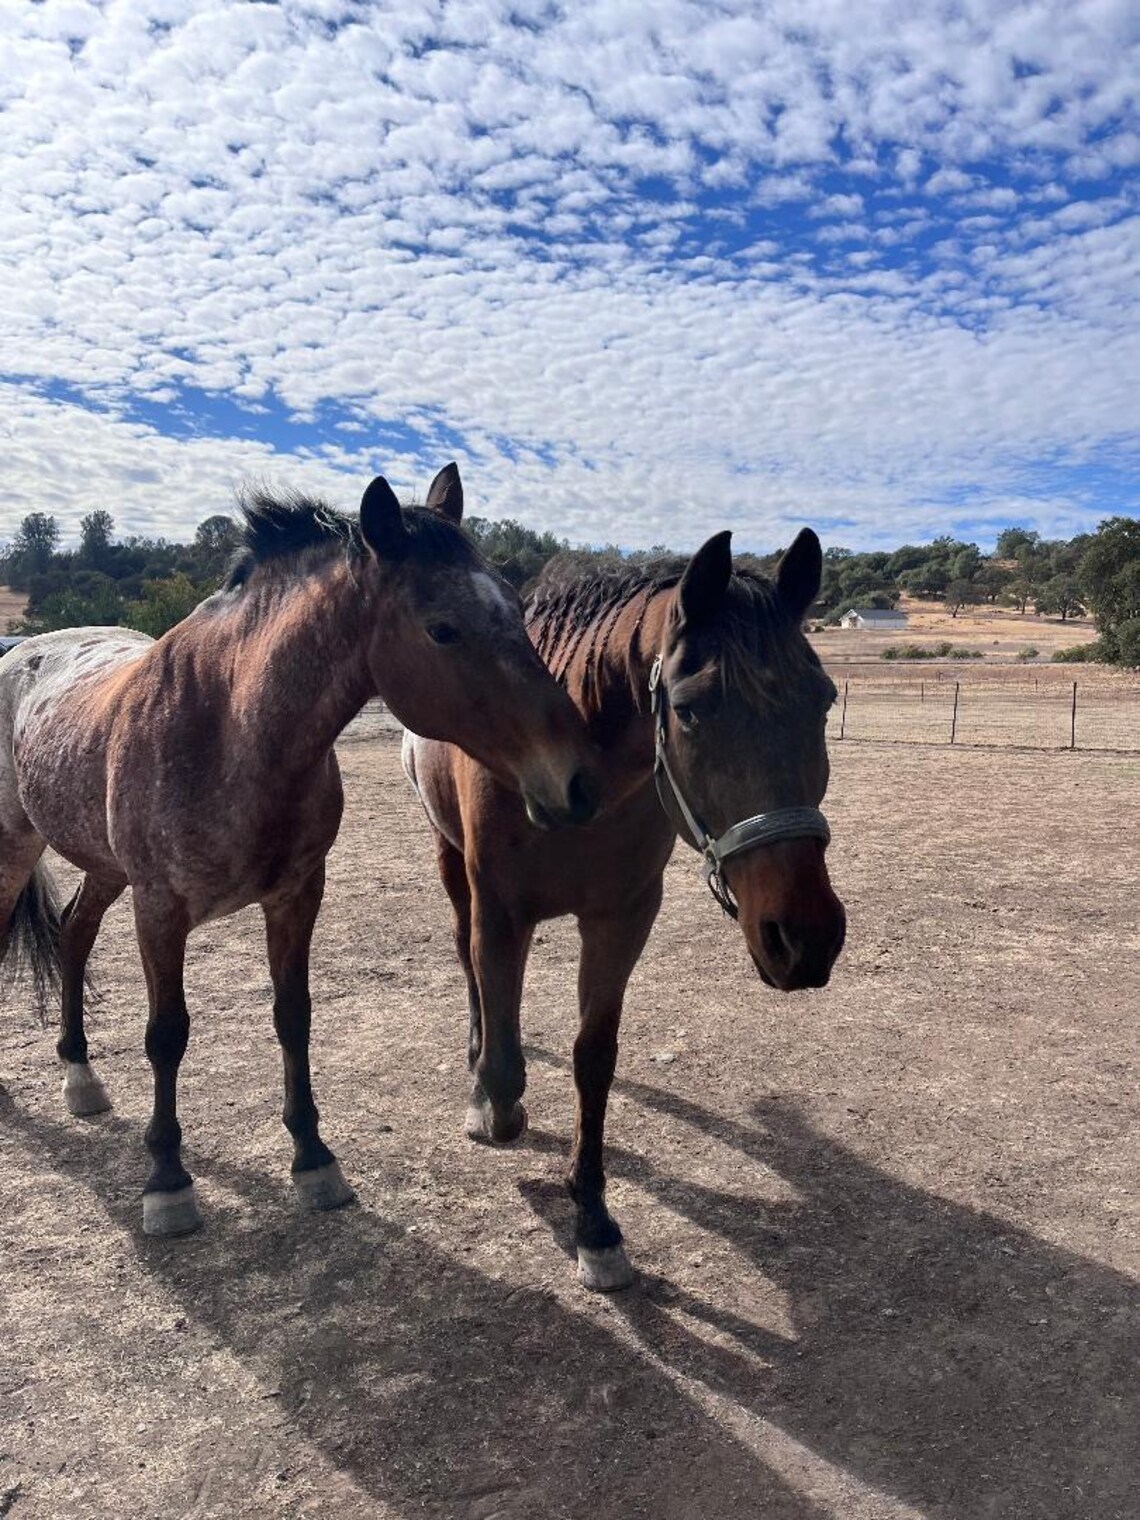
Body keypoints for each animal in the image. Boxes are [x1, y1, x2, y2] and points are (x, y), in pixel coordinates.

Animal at [0, 463, 601, 1237]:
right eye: (443, 628)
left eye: (516, 611)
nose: (579, 780)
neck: (229, 728)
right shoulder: (160, 909)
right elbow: (167, 1034)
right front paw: (167, 1181)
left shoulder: (296, 895)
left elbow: (293, 1015)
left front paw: (313, 1158)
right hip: (20, 847)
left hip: (104, 869)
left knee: (74, 934)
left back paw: (80, 1077)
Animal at [402, 526, 847, 1289]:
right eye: (691, 708)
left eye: (823, 700)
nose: (806, 938)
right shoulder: (501, 909)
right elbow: (505, 1055)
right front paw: (494, 1105)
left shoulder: (623, 916)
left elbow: (594, 1059)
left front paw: (594, 1222)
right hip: (450, 861)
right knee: (468, 964)